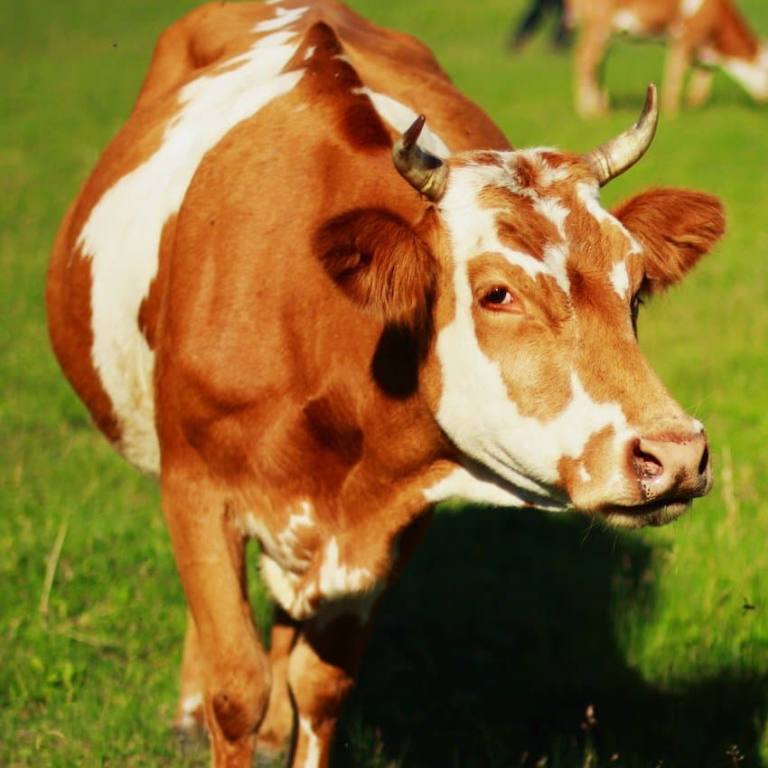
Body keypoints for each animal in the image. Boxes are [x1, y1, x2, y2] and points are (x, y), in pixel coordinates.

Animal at [46, 1, 725, 766]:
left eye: (636, 288)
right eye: (497, 294)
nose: (675, 453)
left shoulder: (386, 525)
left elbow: (320, 686)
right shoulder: (194, 488)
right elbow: (235, 687)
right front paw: (215, 707)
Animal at [568, 0, 768, 116]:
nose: (765, 99)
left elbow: (702, 81)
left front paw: (693, 105)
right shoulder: (686, 37)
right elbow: (675, 73)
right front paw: (672, 111)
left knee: (595, 63)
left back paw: (602, 106)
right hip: (597, 25)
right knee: (584, 59)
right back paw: (589, 112)